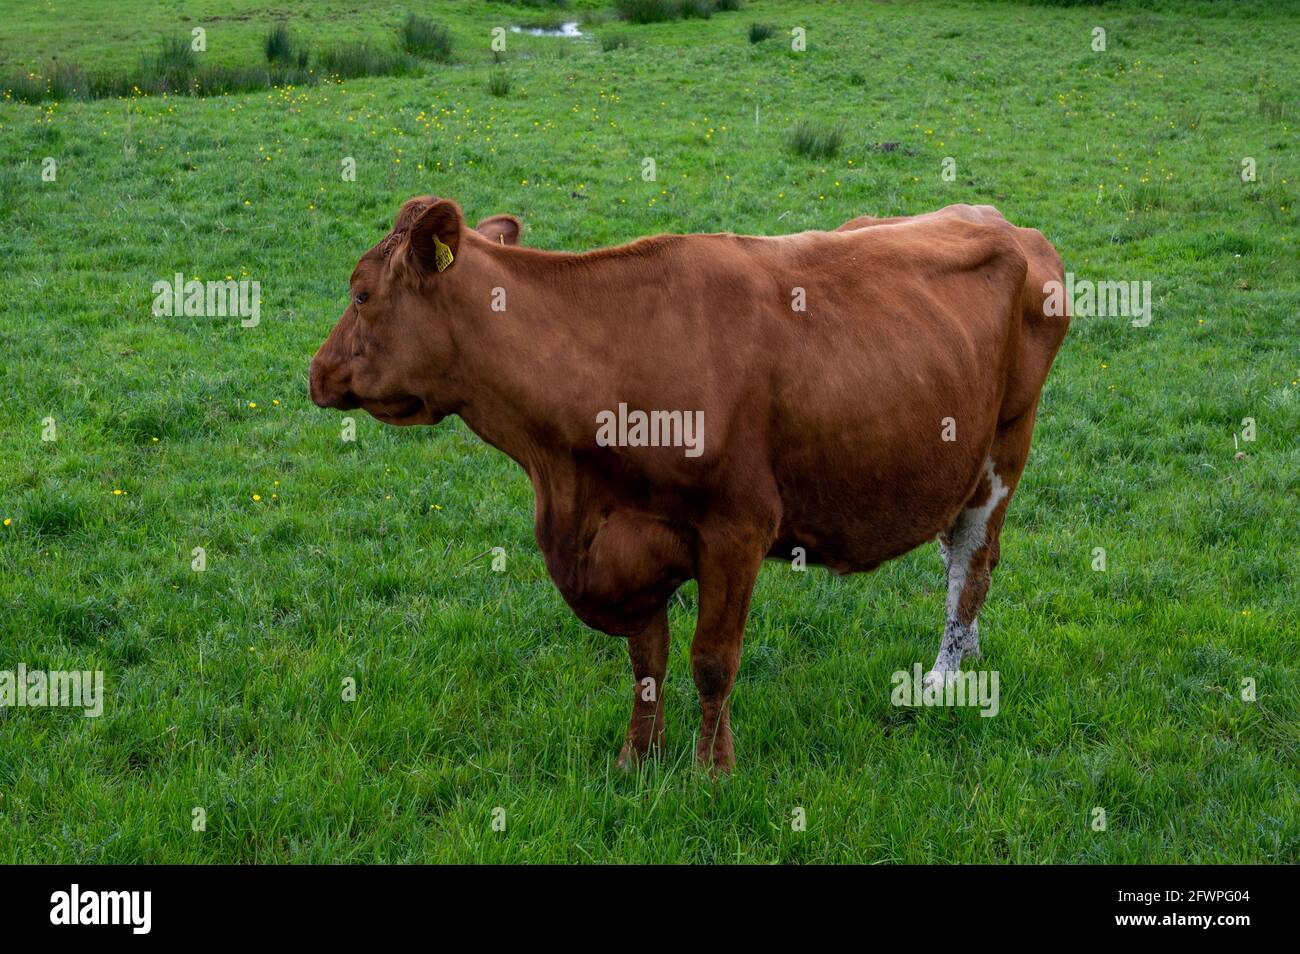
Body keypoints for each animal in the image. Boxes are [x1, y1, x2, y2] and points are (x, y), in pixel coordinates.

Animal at [309, 196, 1069, 772]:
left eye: (360, 293)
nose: (316, 373)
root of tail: (1005, 223)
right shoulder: (629, 544)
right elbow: (647, 662)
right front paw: (636, 761)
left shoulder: (736, 529)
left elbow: (712, 661)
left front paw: (713, 771)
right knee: (956, 555)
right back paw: (967, 655)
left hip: (1006, 443)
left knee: (971, 562)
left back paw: (942, 678)